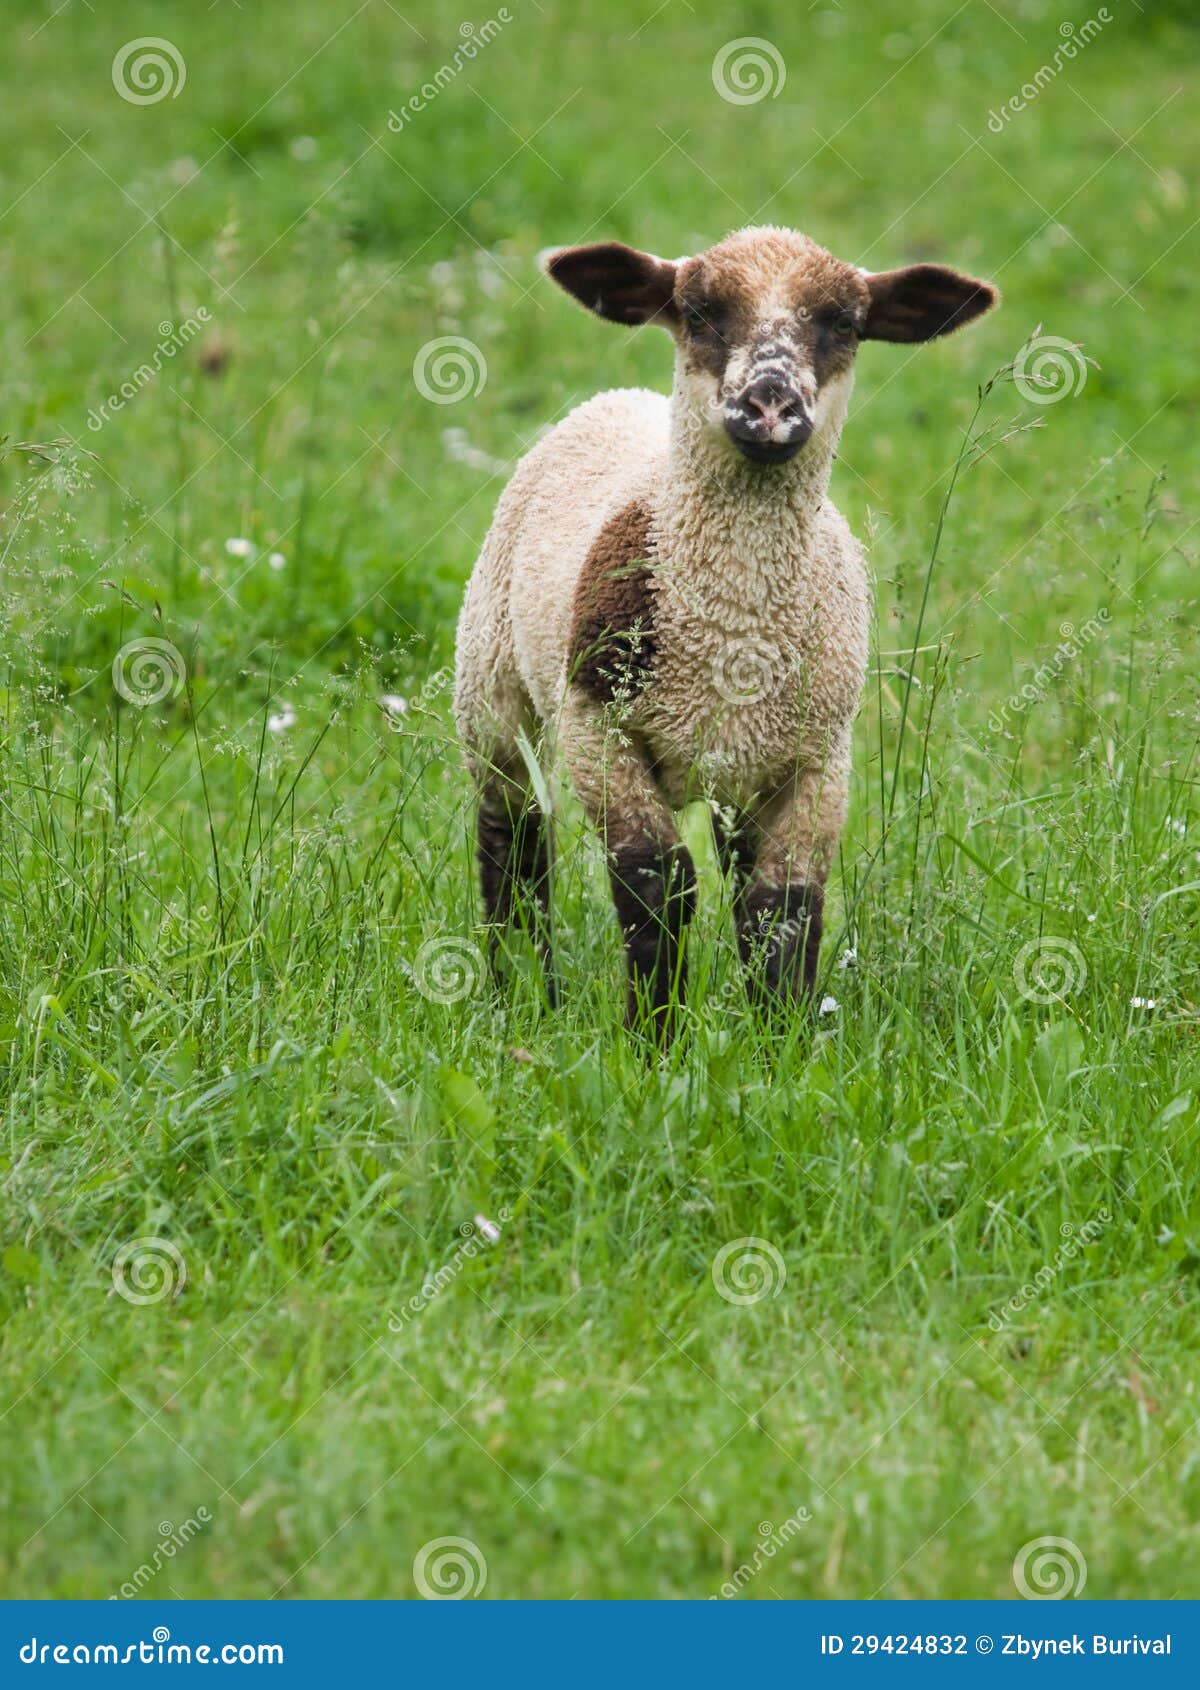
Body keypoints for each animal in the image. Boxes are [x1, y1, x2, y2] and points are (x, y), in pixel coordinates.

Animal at [453, 225, 997, 1037]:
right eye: (701, 312)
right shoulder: (598, 727)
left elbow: (783, 904)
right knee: (512, 838)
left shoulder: (816, 756)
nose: (769, 403)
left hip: (740, 764)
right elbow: (657, 883)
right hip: (491, 677)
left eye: (844, 323)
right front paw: (652, 1038)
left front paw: (780, 1043)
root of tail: (622, 401)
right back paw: (519, 992)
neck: (730, 629)